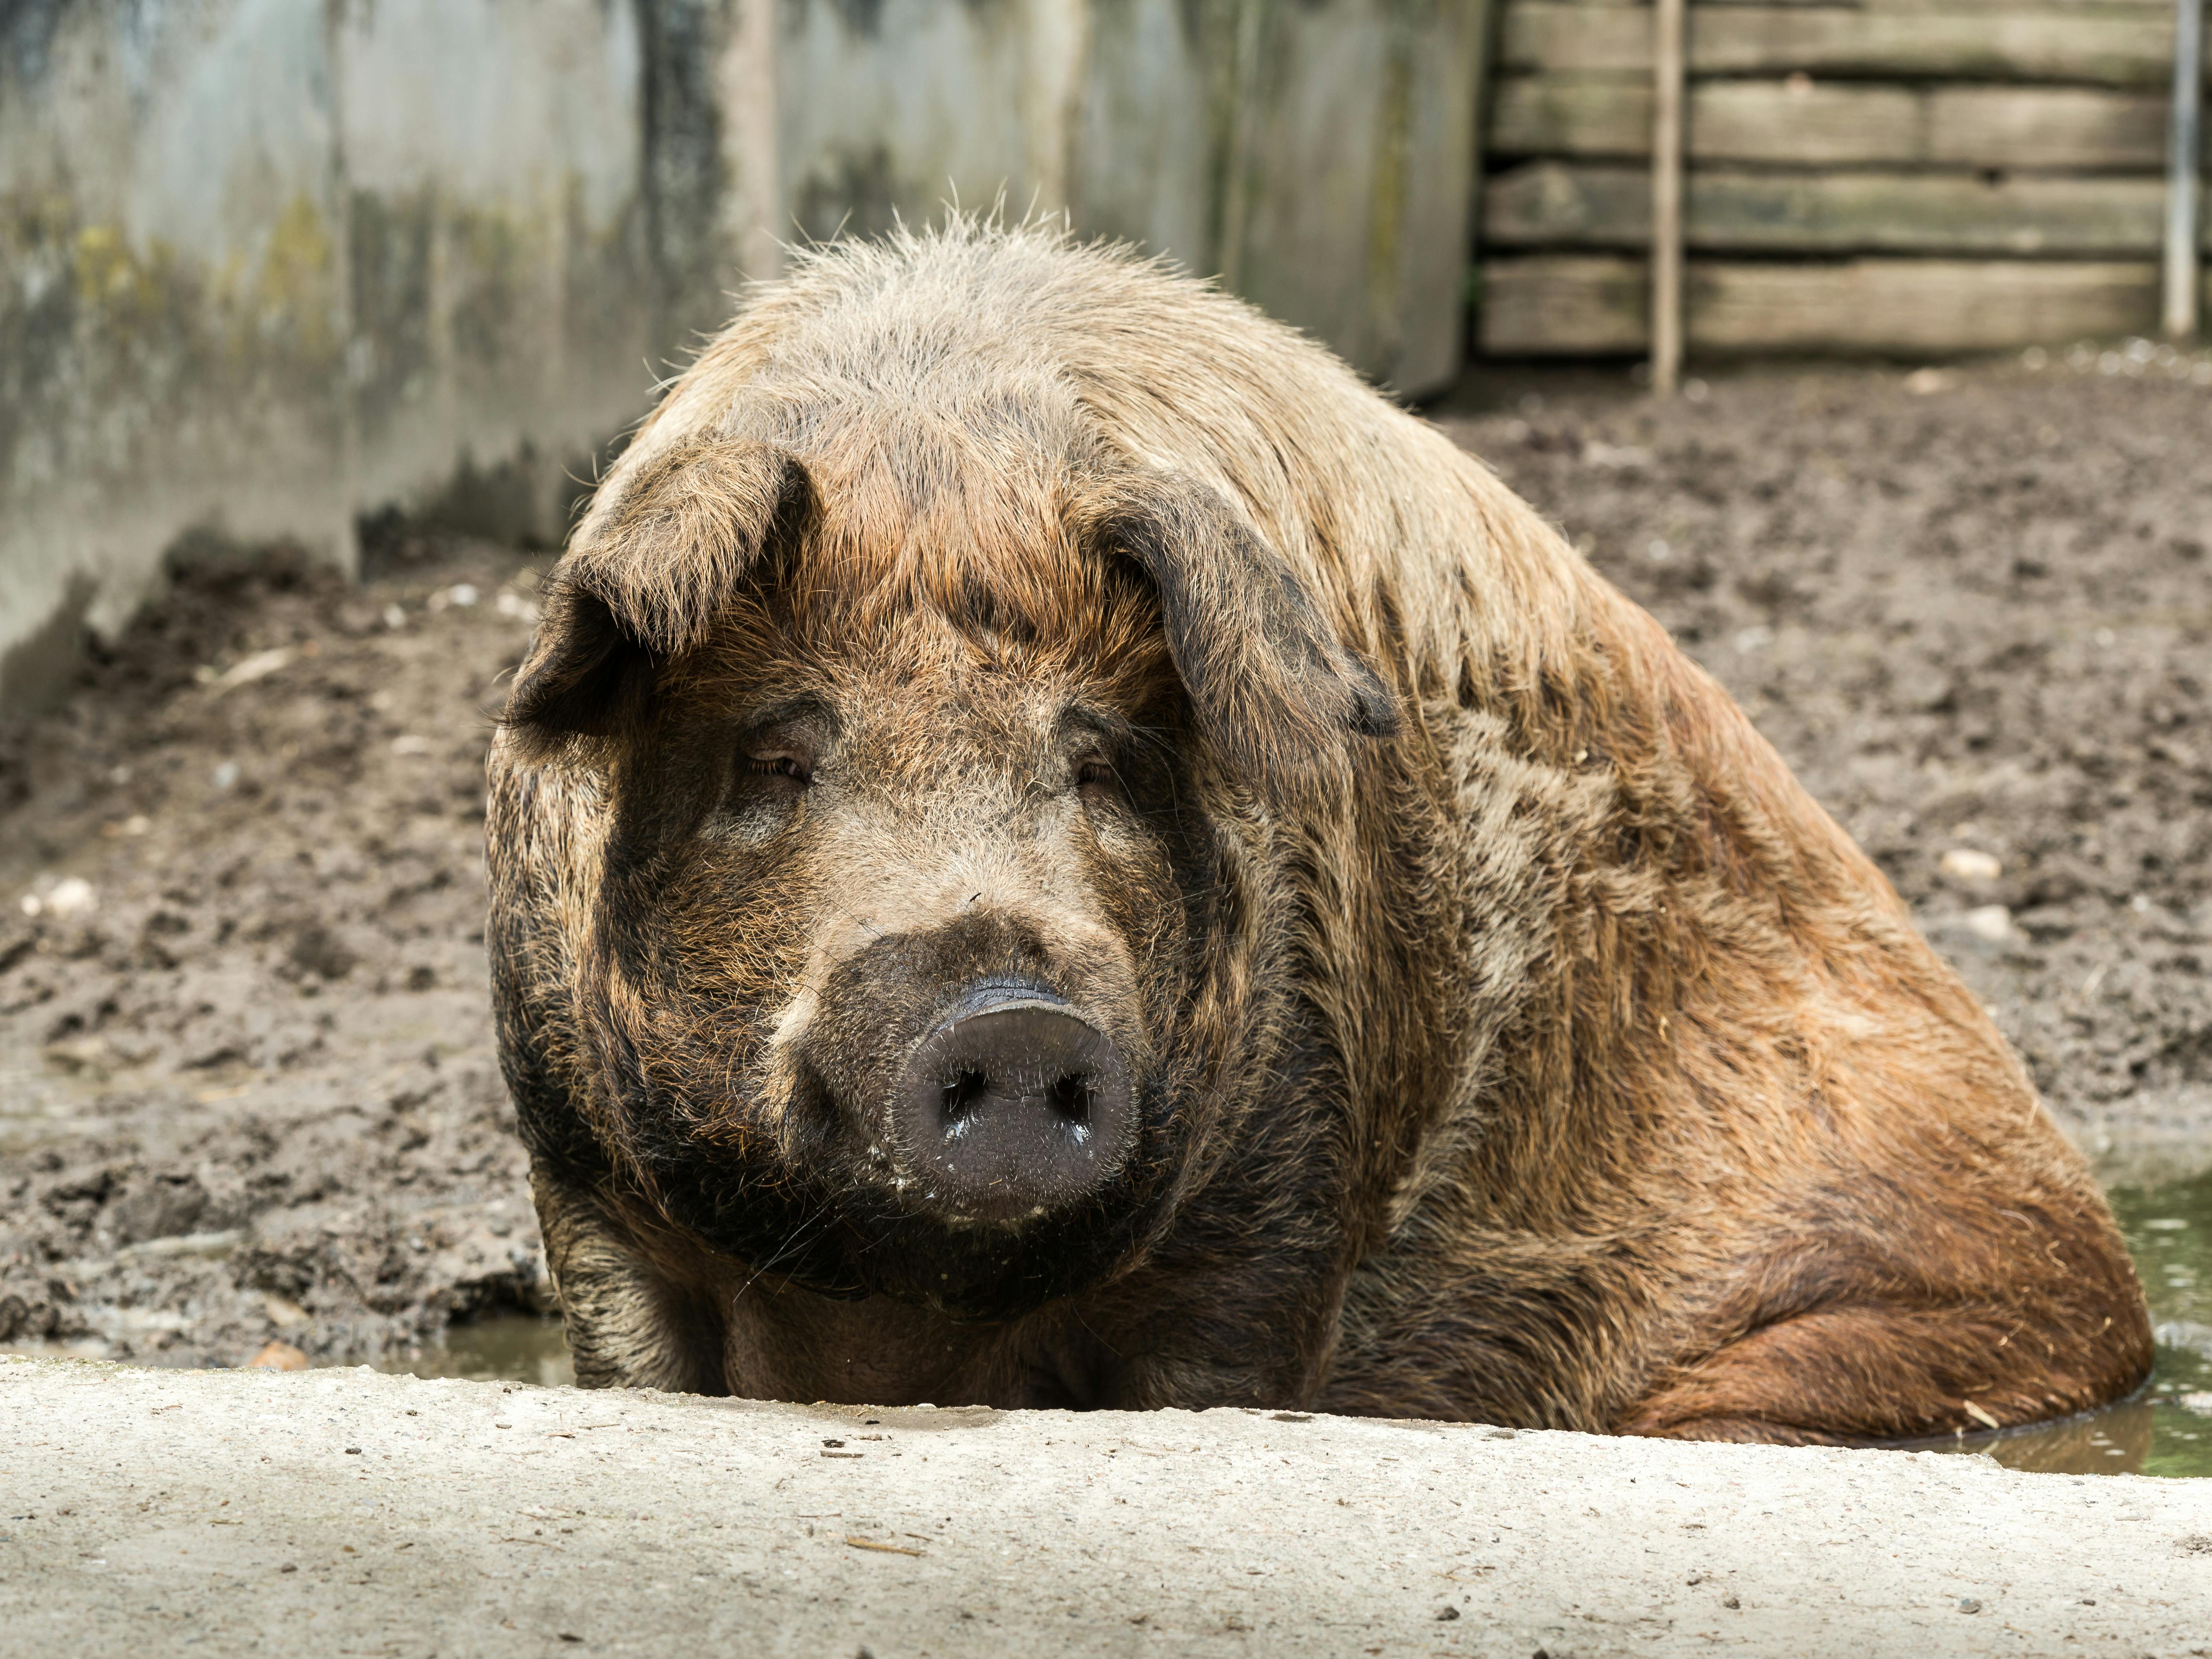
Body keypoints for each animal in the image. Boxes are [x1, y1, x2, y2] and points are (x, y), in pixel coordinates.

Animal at [485, 221, 2150, 1440]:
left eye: (1101, 764)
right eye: (776, 758)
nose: (1010, 1008)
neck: (899, 1306)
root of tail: (2116, 1282)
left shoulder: (1280, 1200)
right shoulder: (585, 1192)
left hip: (1864, 1329)